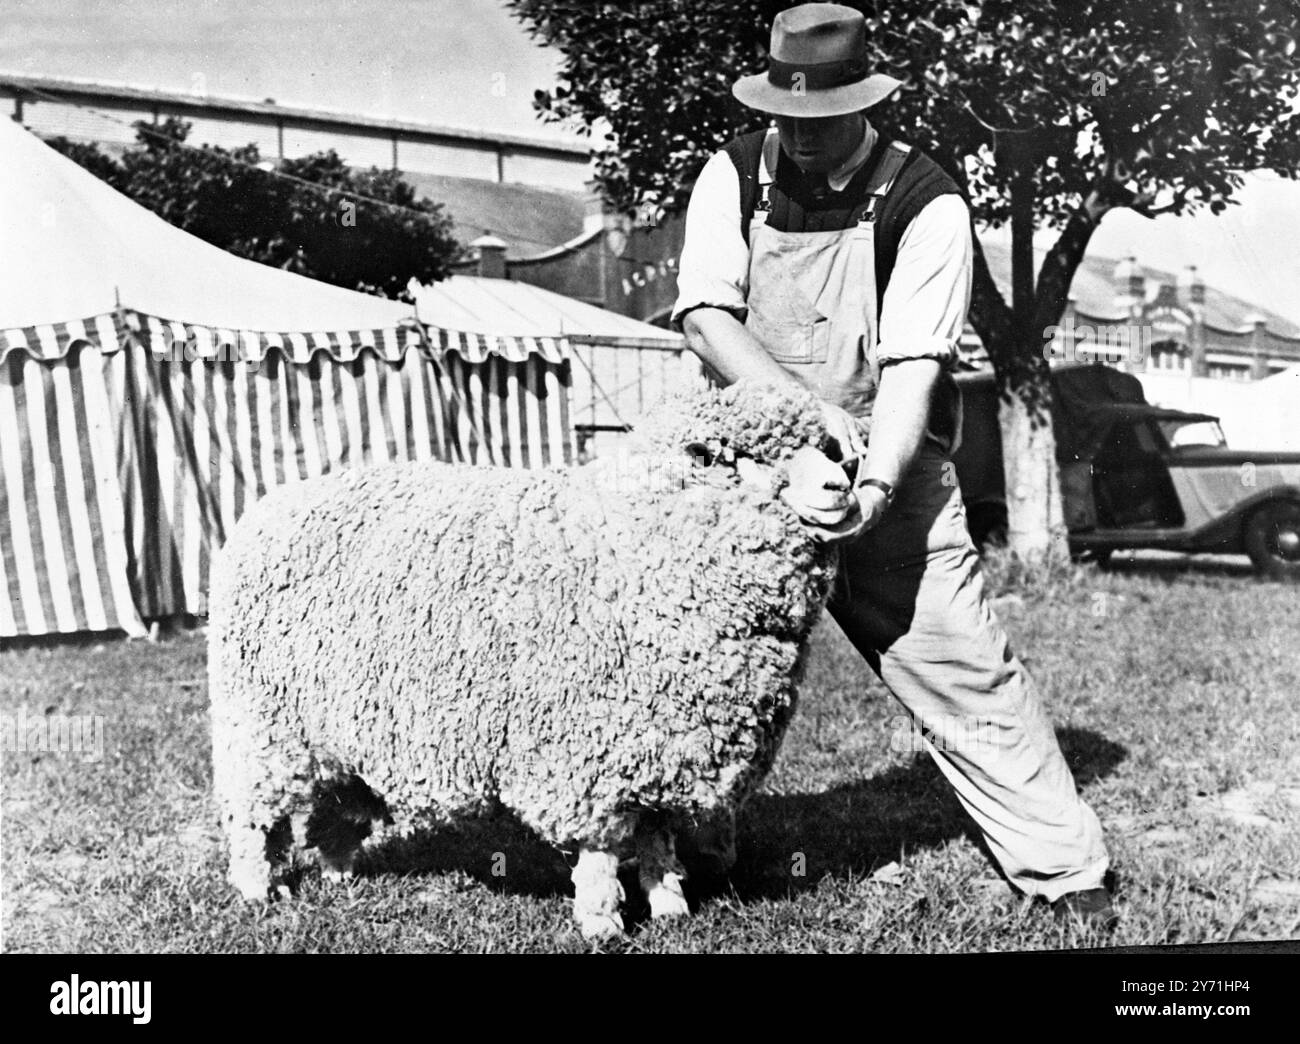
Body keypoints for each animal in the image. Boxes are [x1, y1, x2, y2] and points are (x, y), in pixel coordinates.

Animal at [208, 380, 856, 940]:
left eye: (823, 448)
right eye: (743, 458)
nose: (841, 487)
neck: (636, 546)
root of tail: (266, 505)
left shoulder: (662, 748)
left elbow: (658, 838)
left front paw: (671, 906)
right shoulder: (590, 754)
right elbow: (600, 854)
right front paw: (602, 922)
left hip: (334, 733)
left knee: (330, 811)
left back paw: (340, 875)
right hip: (258, 723)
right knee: (252, 818)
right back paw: (257, 889)